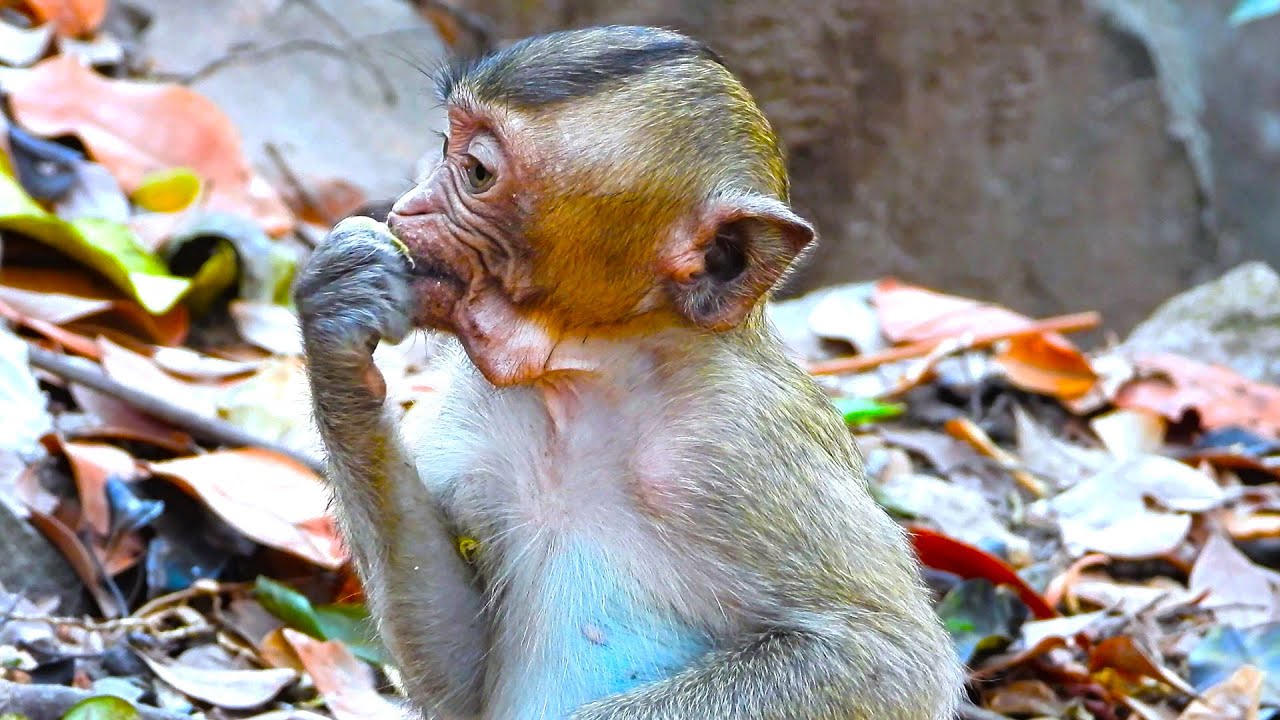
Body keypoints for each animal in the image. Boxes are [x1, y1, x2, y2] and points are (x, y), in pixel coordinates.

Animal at [294, 25, 963, 720]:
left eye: (476, 171)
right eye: (444, 145)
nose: (406, 207)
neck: (592, 379)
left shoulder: (740, 444)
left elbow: (884, 658)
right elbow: (461, 681)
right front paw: (339, 307)